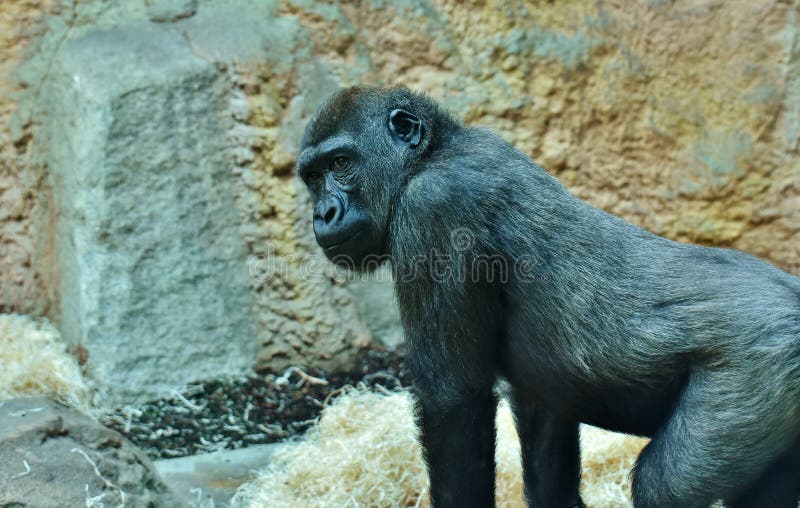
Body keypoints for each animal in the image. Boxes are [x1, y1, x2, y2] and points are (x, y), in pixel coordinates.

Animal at [296, 85, 800, 508]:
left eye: (340, 163)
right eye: (312, 177)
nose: (324, 213)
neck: (436, 151)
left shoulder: (433, 206)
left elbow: (453, 400)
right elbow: (542, 412)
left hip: (759, 372)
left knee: (665, 486)